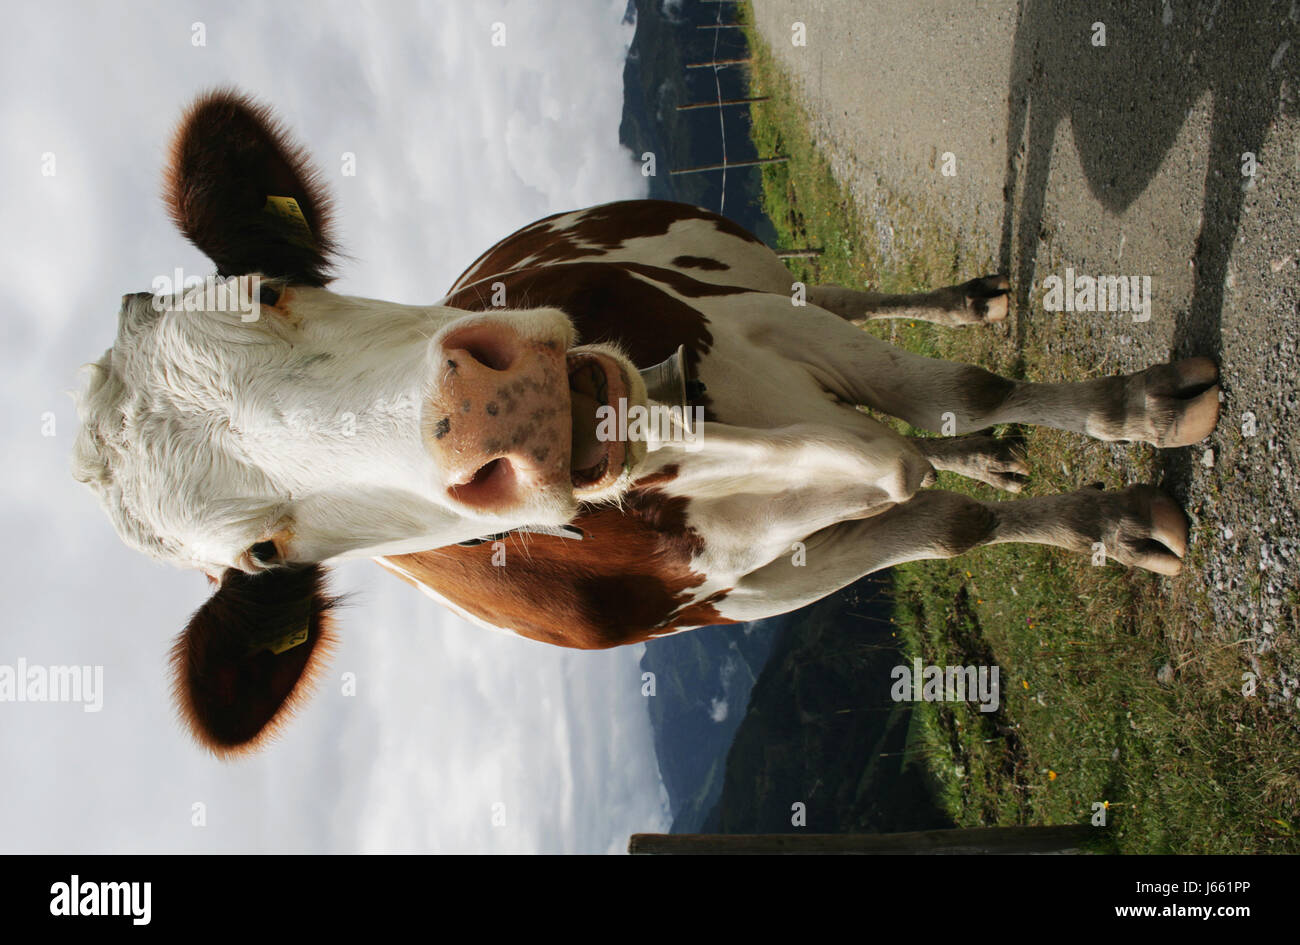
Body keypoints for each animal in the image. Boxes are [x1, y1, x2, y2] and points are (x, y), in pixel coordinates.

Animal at [72, 90, 1221, 756]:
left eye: (269, 291)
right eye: (263, 556)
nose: (485, 412)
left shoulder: (755, 325)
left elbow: (966, 391)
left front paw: (1144, 415)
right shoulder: (770, 580)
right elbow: (947, 523)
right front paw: (1092, 513)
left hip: (750, 270)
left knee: (855, 307)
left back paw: (972, 315)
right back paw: (981, 460)